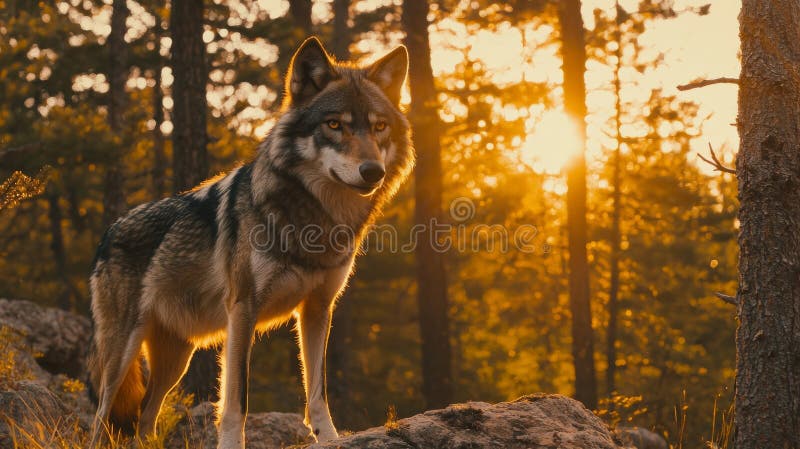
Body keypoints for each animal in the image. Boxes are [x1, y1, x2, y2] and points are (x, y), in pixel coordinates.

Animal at [87, 37, 413, 449]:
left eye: (379, 126)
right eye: (334, 125)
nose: (373, 171)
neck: (313, 221)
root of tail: (109, 232)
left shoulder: (318, 309)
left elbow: (317, 391)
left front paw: (329, 436)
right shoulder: (243, 309)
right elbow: (236, 401)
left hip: (175, 361)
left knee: (145, 418)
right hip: (122, 354)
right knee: (100, 419)